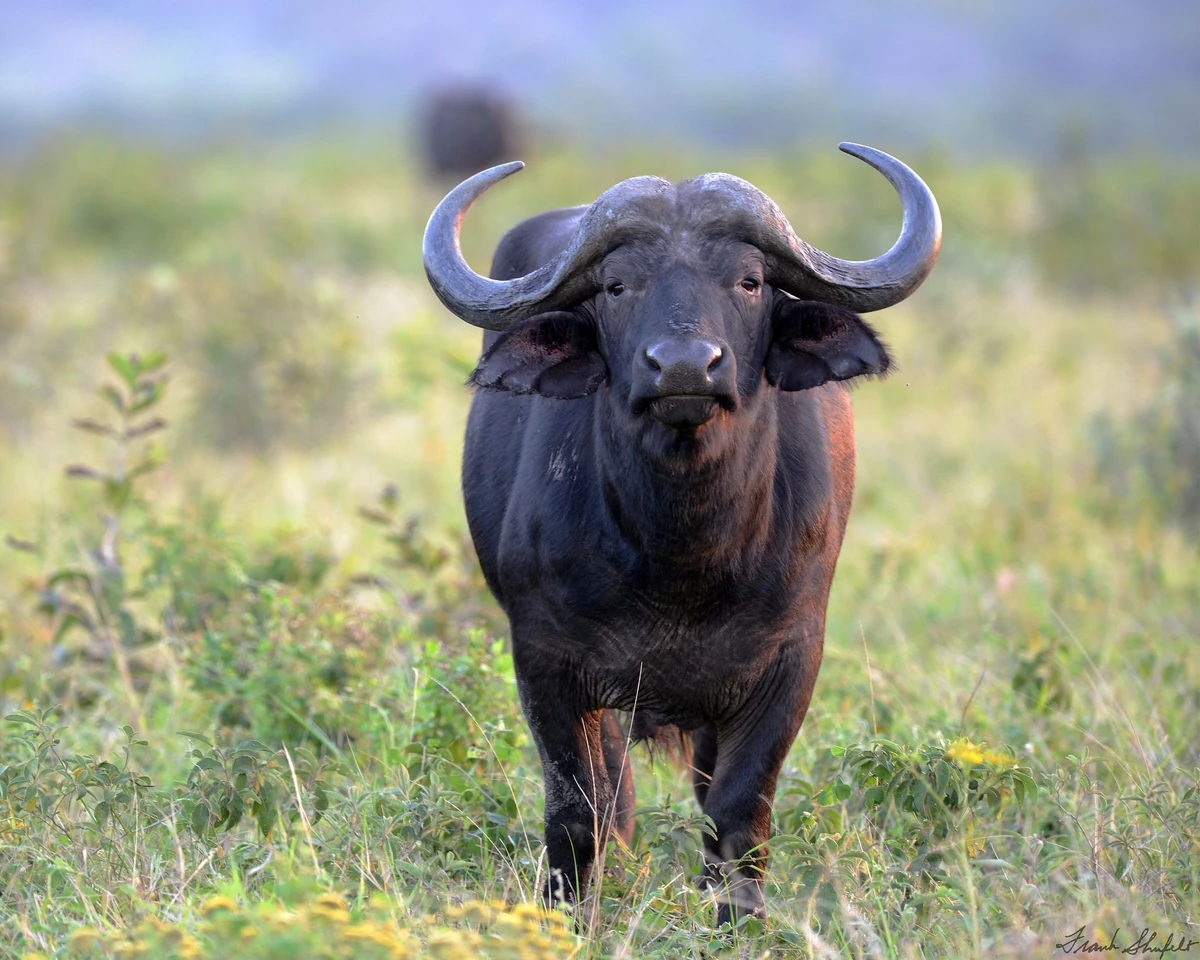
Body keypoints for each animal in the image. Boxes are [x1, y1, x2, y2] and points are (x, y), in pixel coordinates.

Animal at [422, 144, 941, 924]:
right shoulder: (544, 661)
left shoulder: (791, 661)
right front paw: (570, 913)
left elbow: (737, 811)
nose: (685, 367)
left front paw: (737, 919)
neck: (681, 555)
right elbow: (578, 808)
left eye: (750, 281)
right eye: (616, 285)